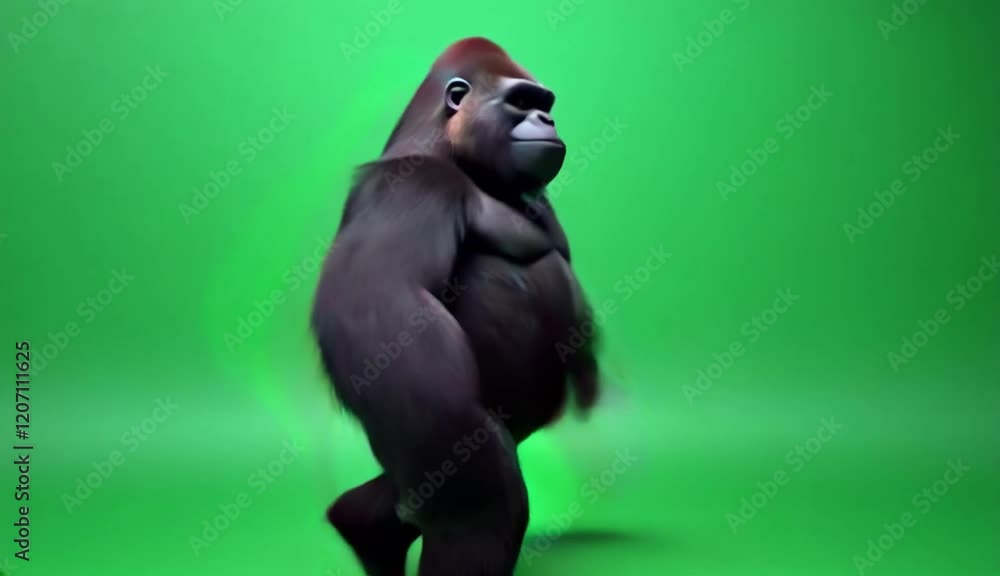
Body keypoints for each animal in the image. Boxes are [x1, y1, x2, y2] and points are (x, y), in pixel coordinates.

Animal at [312, 37, 599, 576]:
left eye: (544, 103)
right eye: (521, 102)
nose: (548, 121)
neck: (445, 144)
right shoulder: (413, 186)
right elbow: (391, 309)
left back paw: (365, 525)